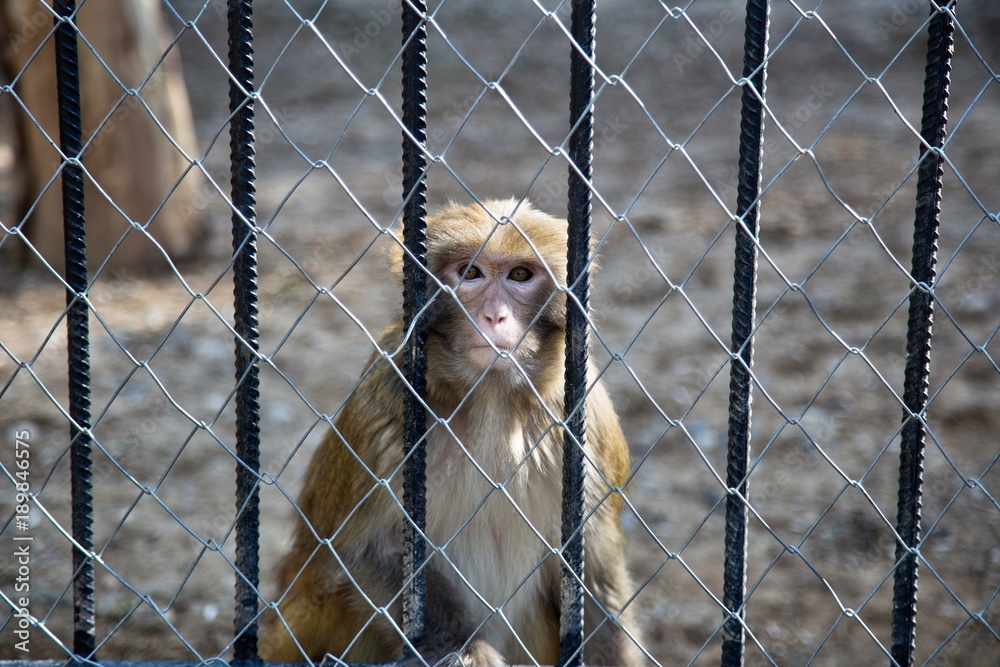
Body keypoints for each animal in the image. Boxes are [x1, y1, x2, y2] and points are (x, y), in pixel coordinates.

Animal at [260, 198, 643, 666]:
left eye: (520, 275)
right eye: (470, 273)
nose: (494, 315)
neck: (492, 402)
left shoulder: (589, 424)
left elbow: (599, 583)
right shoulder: (386, 406)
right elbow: (363, 553)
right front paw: (466, 650)